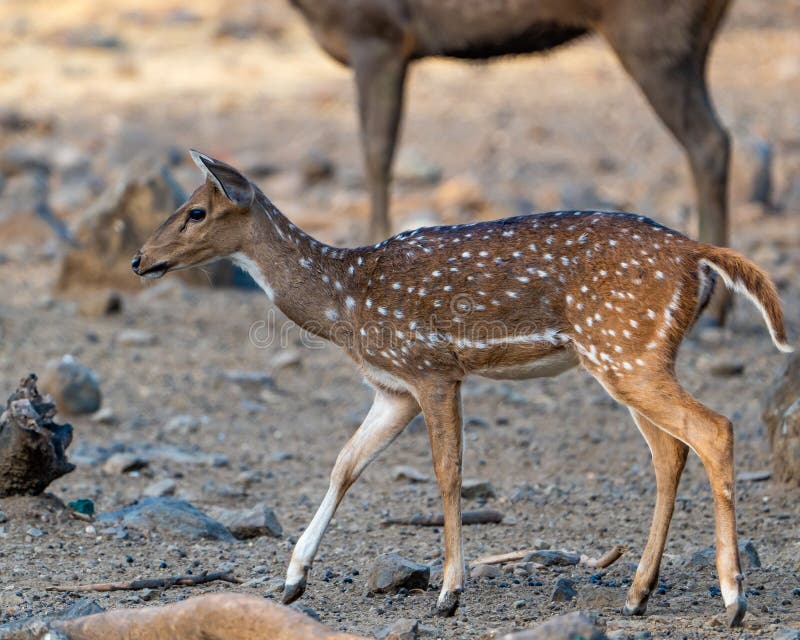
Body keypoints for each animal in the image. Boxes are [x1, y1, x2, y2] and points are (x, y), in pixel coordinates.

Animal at [132, 150, 792, 628]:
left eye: (195, 210)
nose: (140, 260)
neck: (345, 303)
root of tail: (697, 254)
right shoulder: (393, 388)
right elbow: (344, 464)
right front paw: (293, 580)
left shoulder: (432, 368)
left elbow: (447, 473)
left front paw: (448, 593)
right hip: (628, 354)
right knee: (670, 452)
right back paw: (636, 595)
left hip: (624, 349)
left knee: (713, 429)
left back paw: (732, 599)